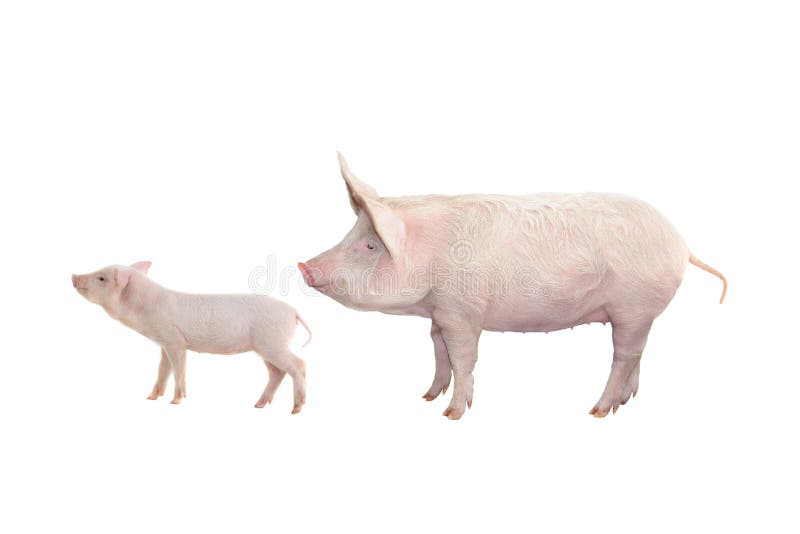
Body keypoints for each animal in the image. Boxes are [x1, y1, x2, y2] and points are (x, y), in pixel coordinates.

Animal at [72, 262, 311, 413]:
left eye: (101, 278)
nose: (74, 276)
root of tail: (293, 312)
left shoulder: (175, 340)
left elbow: (179, 369)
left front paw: (175, 401)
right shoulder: (163, 343)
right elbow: (163, 370)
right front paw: (151, 397)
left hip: (273, 342)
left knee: (299, 365)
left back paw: (295, 410)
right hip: (264, 347)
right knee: (277, 372)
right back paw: (258, 405)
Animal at [299, 153, 727, 420]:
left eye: (371, 245)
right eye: (351, 233)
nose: (304, 265)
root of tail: (681, 242)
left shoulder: (463, 312)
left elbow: (463, 359)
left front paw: (451, 414)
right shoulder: (441, 312)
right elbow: (438, 351)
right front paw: (427, 395)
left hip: (633, 307)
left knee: (622, 356)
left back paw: (598, 411)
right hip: (640, 314)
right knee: (637, 354)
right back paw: (625, 402)